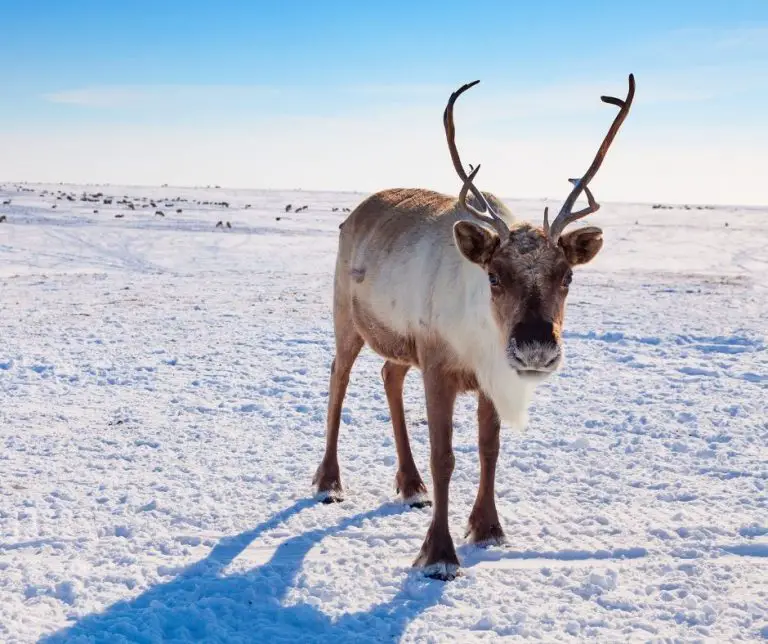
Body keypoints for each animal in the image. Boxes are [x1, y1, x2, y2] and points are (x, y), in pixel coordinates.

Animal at [312, 74, 635, 580]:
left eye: (567, 275)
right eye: (494, 276)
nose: (536, 347)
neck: (476, 338)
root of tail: (356, 212)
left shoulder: (486, 376)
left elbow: (489, 448)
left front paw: (487, 528)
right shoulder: (437, 366)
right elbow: (444, 456)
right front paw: (439, 554)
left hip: (401, 342)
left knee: (389, 374)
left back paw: (411, 486)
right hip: (347, 317)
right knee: (338, 377)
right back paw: (329, 482)